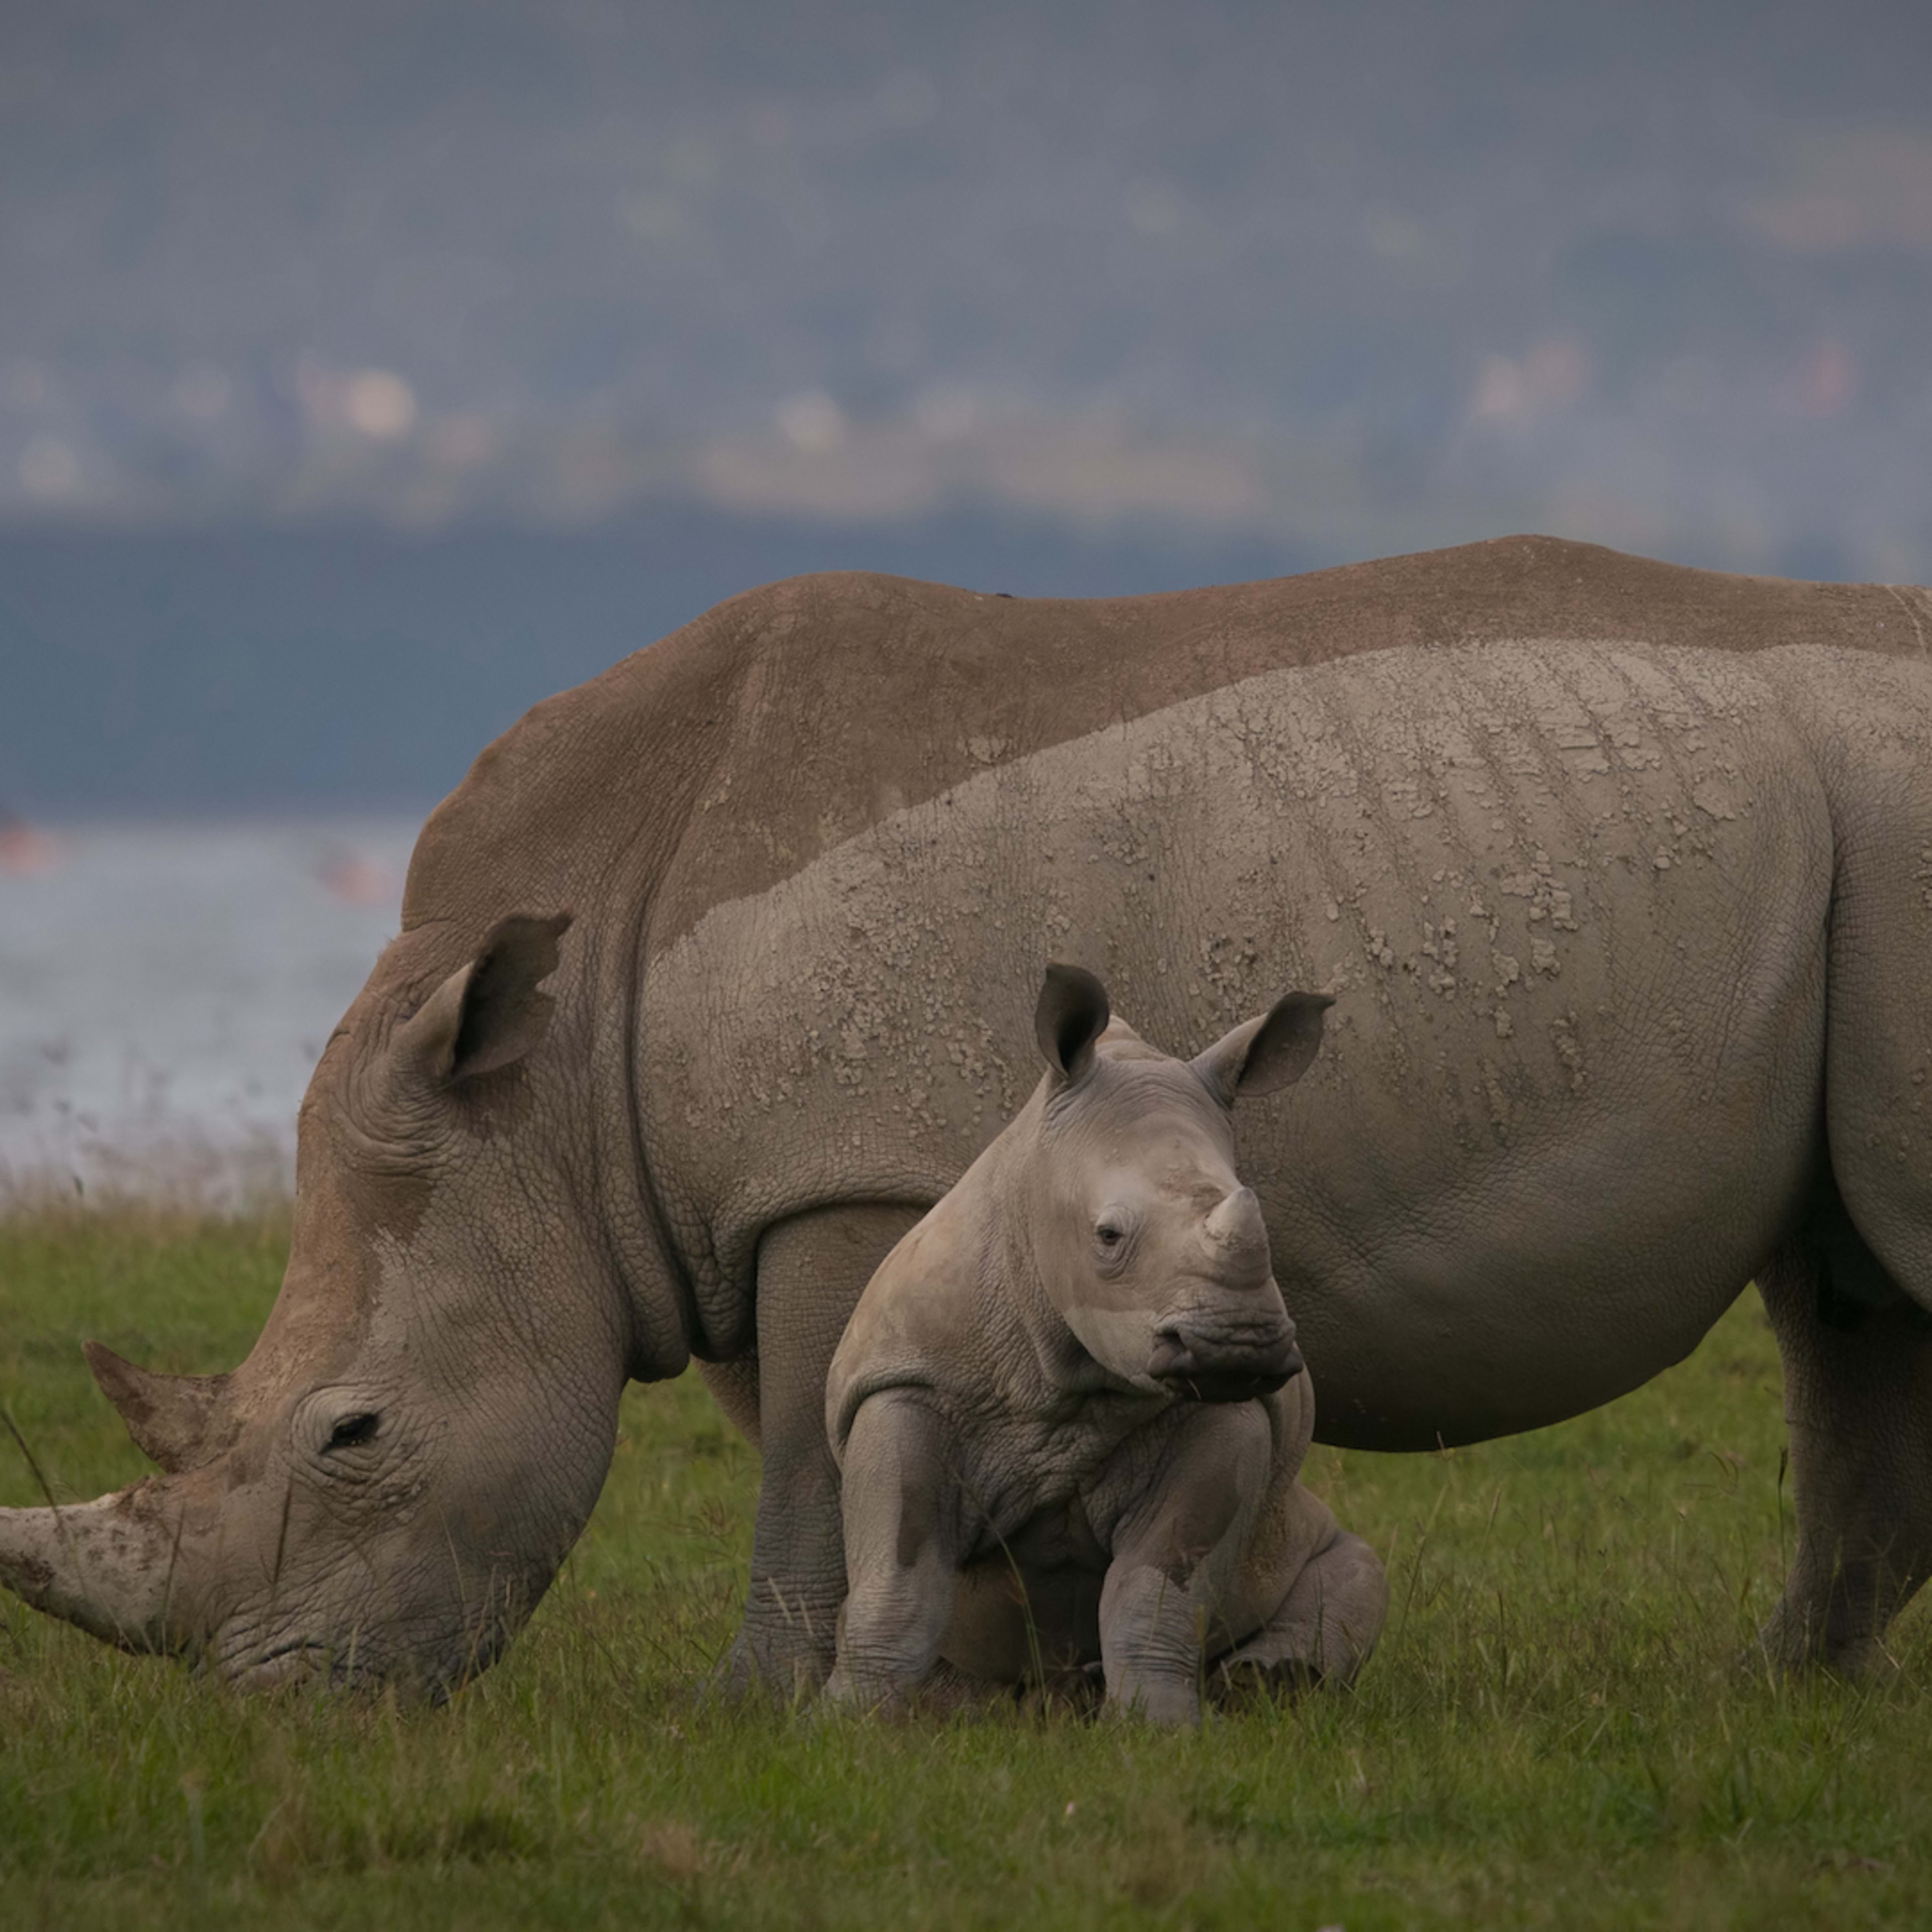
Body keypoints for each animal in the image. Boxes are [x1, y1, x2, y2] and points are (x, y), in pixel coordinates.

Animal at [826, 966, 1386, 1722]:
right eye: (1109, 1236)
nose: (1240, 1345)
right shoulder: (907, 1383)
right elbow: (898, 1576)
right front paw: (848, 1723)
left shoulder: (1228, 1412)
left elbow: (1158, 1586)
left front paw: (1160, 1725)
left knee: (1360, 1571)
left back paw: (1263, 1683)